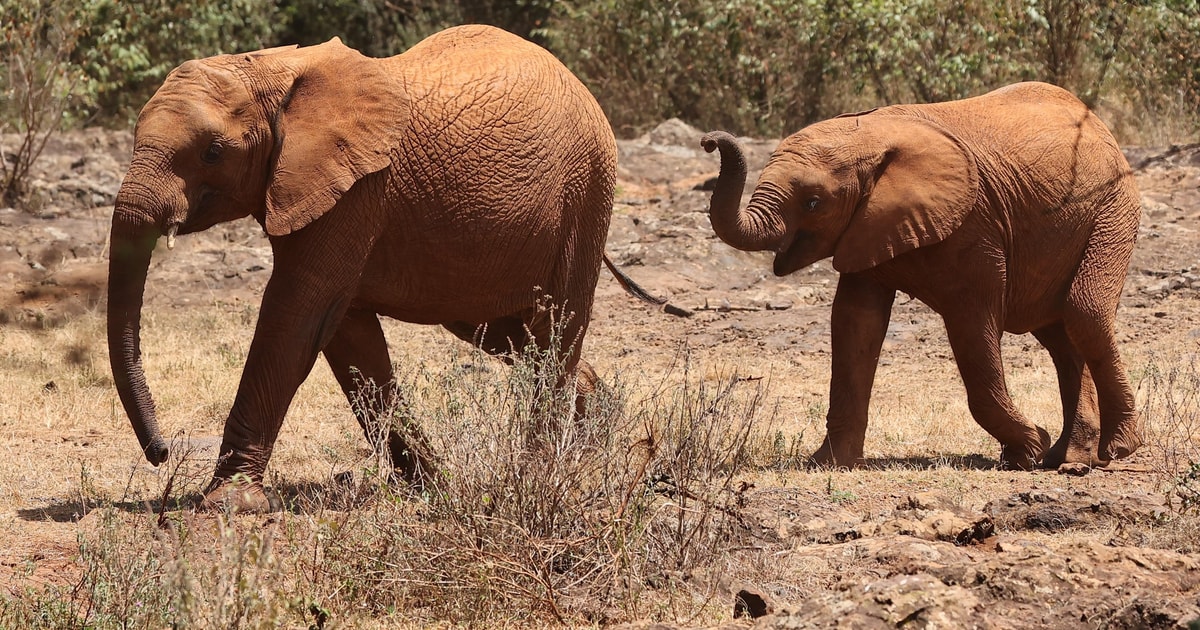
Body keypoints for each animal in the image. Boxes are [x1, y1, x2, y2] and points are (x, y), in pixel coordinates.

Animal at [108, 25, 662, 512]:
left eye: (213, 152)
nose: (162, 452)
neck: (273, 68)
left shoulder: (357, 190)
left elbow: (295, 319)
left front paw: (229, 503)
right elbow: (347, 337)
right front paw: (436, 490)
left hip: (587, 193)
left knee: (556, 330)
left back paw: (538, 475)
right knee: (514, 335)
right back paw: (597, 432)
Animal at [700, 81, 1142, 470]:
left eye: (812, 202)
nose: (710, 141)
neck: (872, 135)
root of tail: (1096, 120)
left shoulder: (975, 226)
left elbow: (972, 325)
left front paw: (1026, 450)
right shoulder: (867, 226)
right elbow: (855, 324)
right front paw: (826, 465)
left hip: (1113, 209)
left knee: (1083, 314)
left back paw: (1117, 449)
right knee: (1061, 336)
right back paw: (1070, 460)